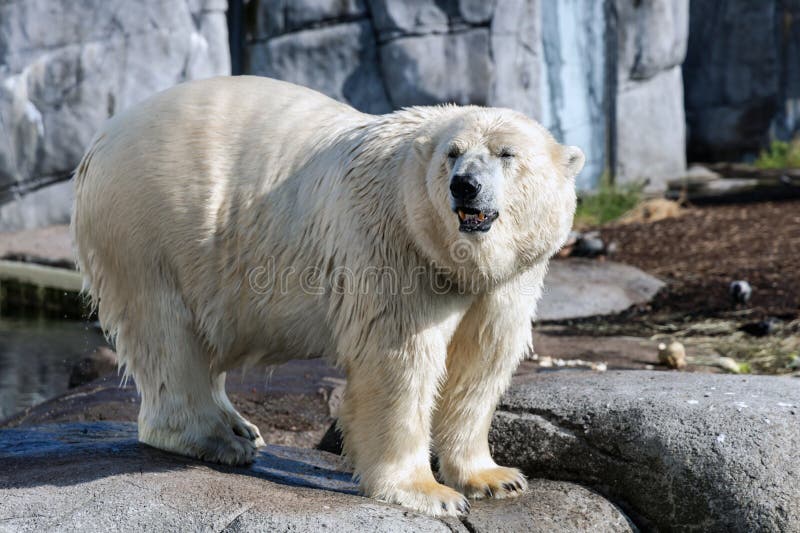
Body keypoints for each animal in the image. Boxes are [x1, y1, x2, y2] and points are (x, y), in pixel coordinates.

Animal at [72, 76, 583, 516]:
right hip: (149, 224)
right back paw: (220, 439)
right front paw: (427, 493)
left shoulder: (505, 280)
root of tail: (100, 140)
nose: (465, 185)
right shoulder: (393, 245)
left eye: (506, 153)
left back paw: (240, 426)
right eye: (452, 153)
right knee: (166, 332)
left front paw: (496, 478)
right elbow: (400, 360)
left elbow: (483, 359)